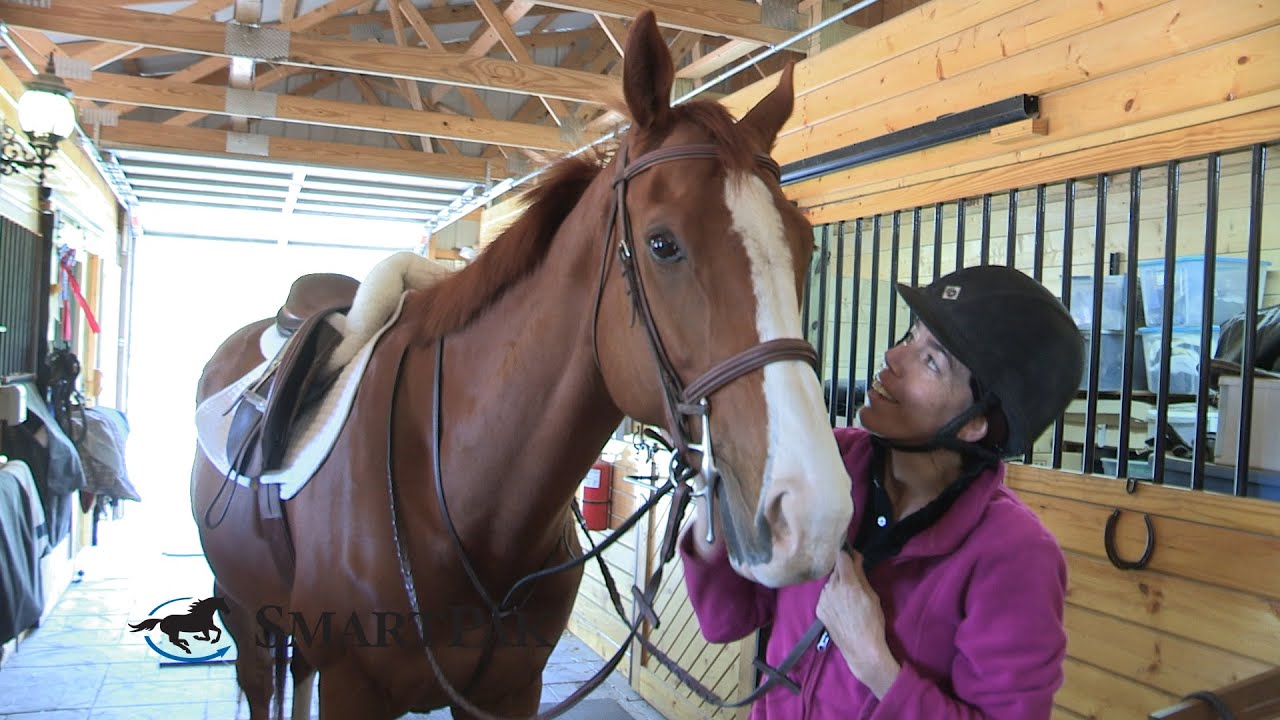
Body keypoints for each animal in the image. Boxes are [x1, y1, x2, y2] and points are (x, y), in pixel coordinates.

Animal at [190, 11, 852, 720]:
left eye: (805, 245)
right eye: (662, 243)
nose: (811, 509)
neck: (468, 496)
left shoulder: (512, 691)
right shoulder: (353, 693)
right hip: (246, 616)